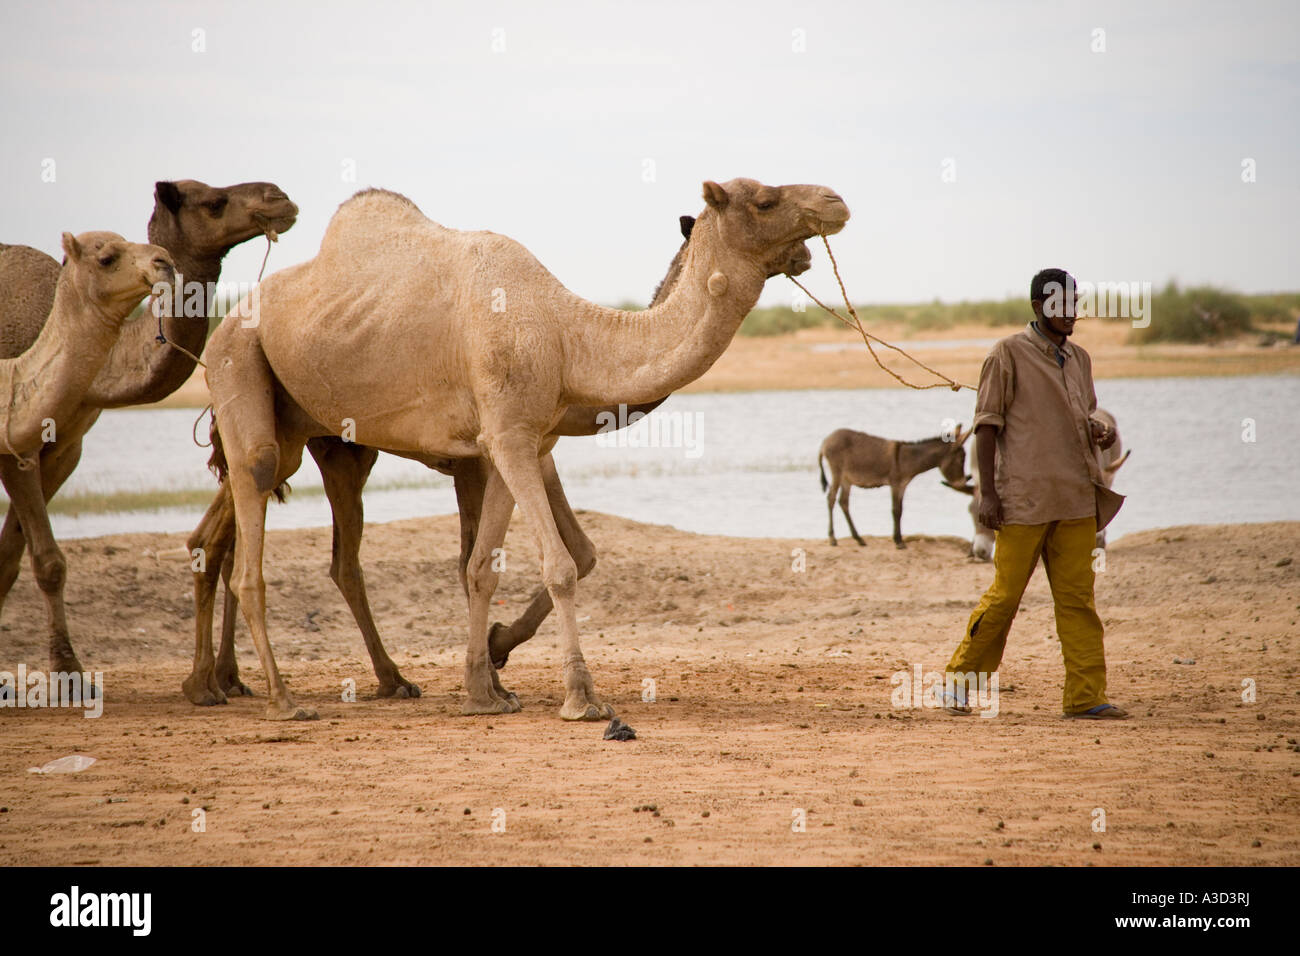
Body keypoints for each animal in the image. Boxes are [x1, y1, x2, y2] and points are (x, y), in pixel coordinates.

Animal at [0, 181, 297, 675]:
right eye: (213, 202)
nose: (280, 197)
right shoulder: (16, 448)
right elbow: (43, 559)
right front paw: (68, 668)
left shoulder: (66, 447)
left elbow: (17, 554)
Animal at [203, 177, 848, 720]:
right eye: (764, 199)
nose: (836, 201)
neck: (568, 333)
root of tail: (226, 320)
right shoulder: (511, 438)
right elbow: (561, 565)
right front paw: (581, 698)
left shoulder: (516, 443)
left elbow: (481, 567)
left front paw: (484, 691)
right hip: (238, 361)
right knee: (253, 505)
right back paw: (279, 699)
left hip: (311, 428)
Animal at [817, 426, 972, 548]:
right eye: (961, 459)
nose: (961, 483)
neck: (908, 458)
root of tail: (825, 440)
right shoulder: (895, 484)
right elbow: (895, 510)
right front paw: (899, 542)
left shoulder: (903, 485)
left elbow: (900, 510)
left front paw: (898, 539)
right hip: (837, 472)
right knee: (831, 498)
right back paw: (833, 539)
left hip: (847, 479)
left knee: (843, 502)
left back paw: (859, 539)